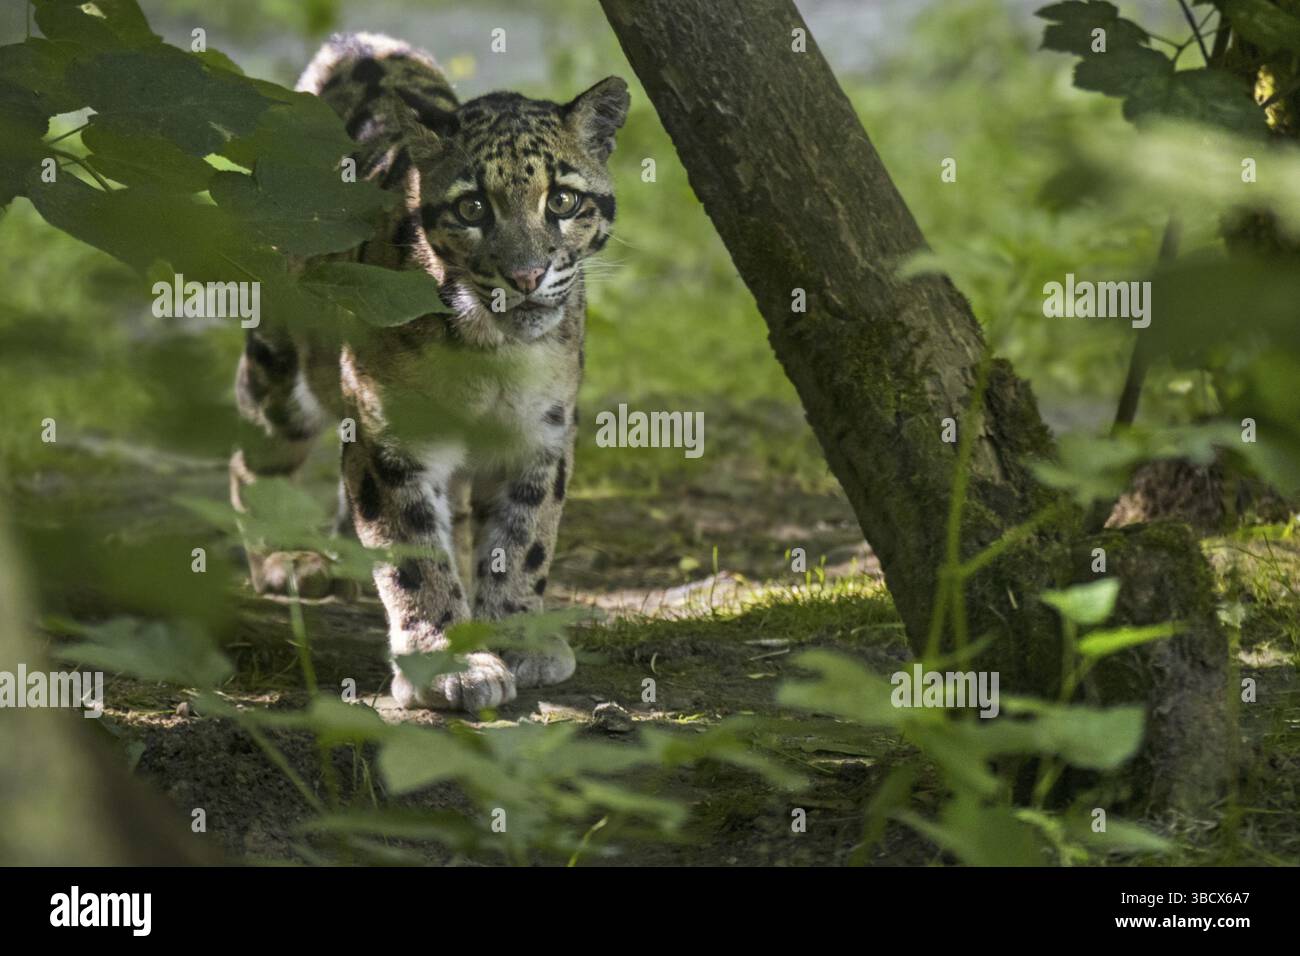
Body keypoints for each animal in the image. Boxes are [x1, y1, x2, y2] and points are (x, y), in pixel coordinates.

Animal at [228, 32, 629, 711]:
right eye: (472, 208)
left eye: (563, 199)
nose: (526, 277)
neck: (493, 350)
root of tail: (360, 44)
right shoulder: (391, 438)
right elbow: (413, 551)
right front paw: (451, 662)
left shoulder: (540, 438)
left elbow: (523, 540)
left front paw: (517, 635)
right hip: (285, 365)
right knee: (254, 452)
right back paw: (286, 556)